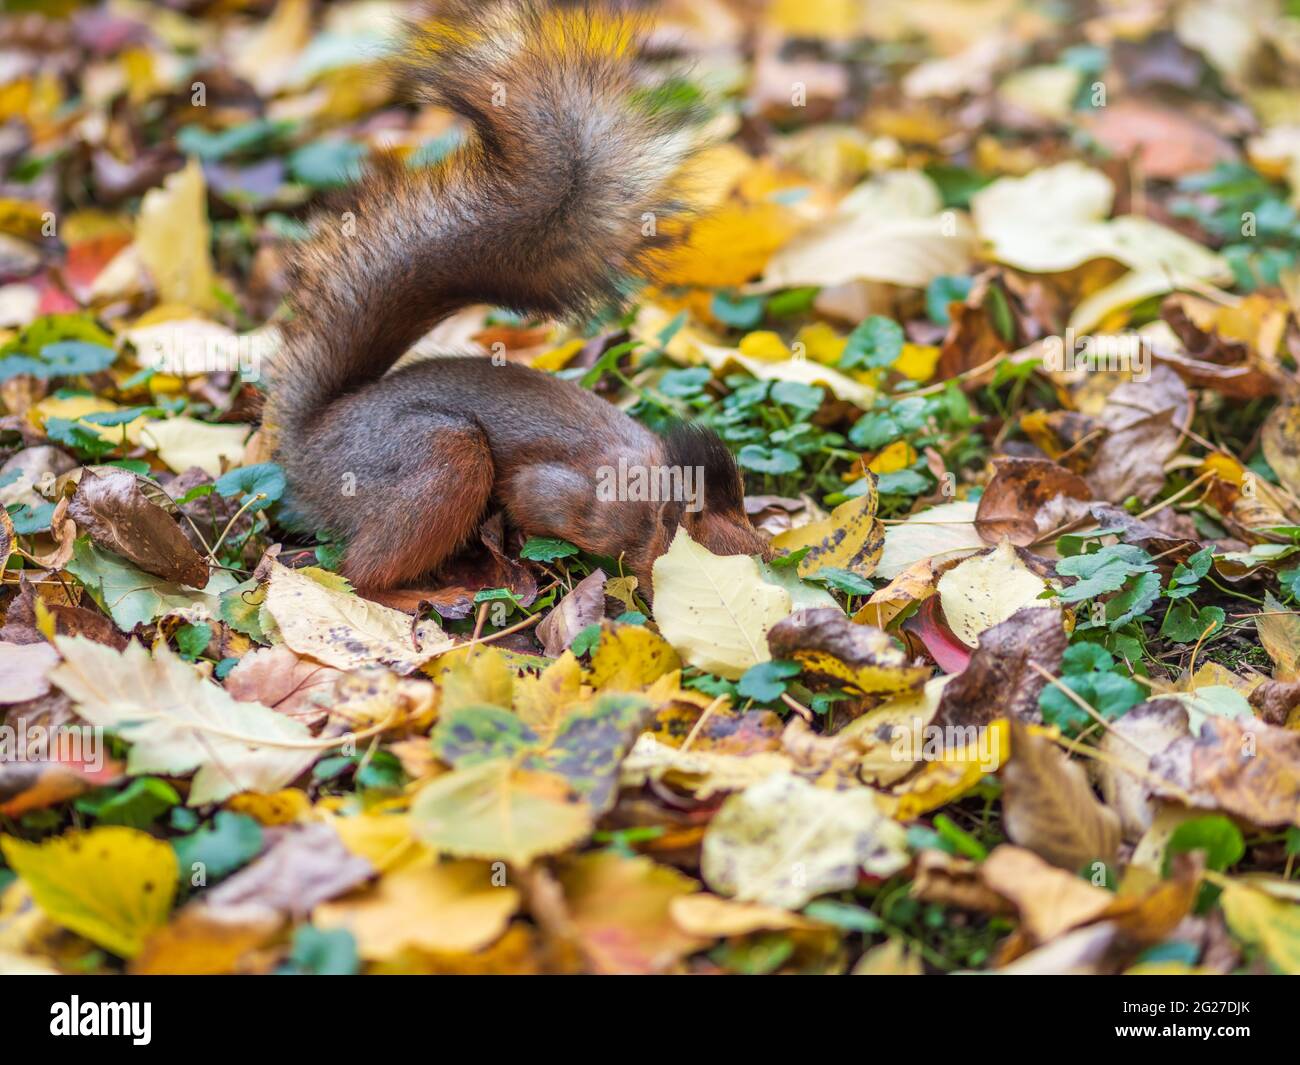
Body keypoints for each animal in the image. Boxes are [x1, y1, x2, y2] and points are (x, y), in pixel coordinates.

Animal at [264, 0, 769, 607]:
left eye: (770, 555)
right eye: (719, 568)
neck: (650, 504)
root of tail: (310, 445)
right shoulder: (567, 496)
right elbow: (533, 500)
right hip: (437, 460)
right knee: (358, 574)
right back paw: (425, 596)